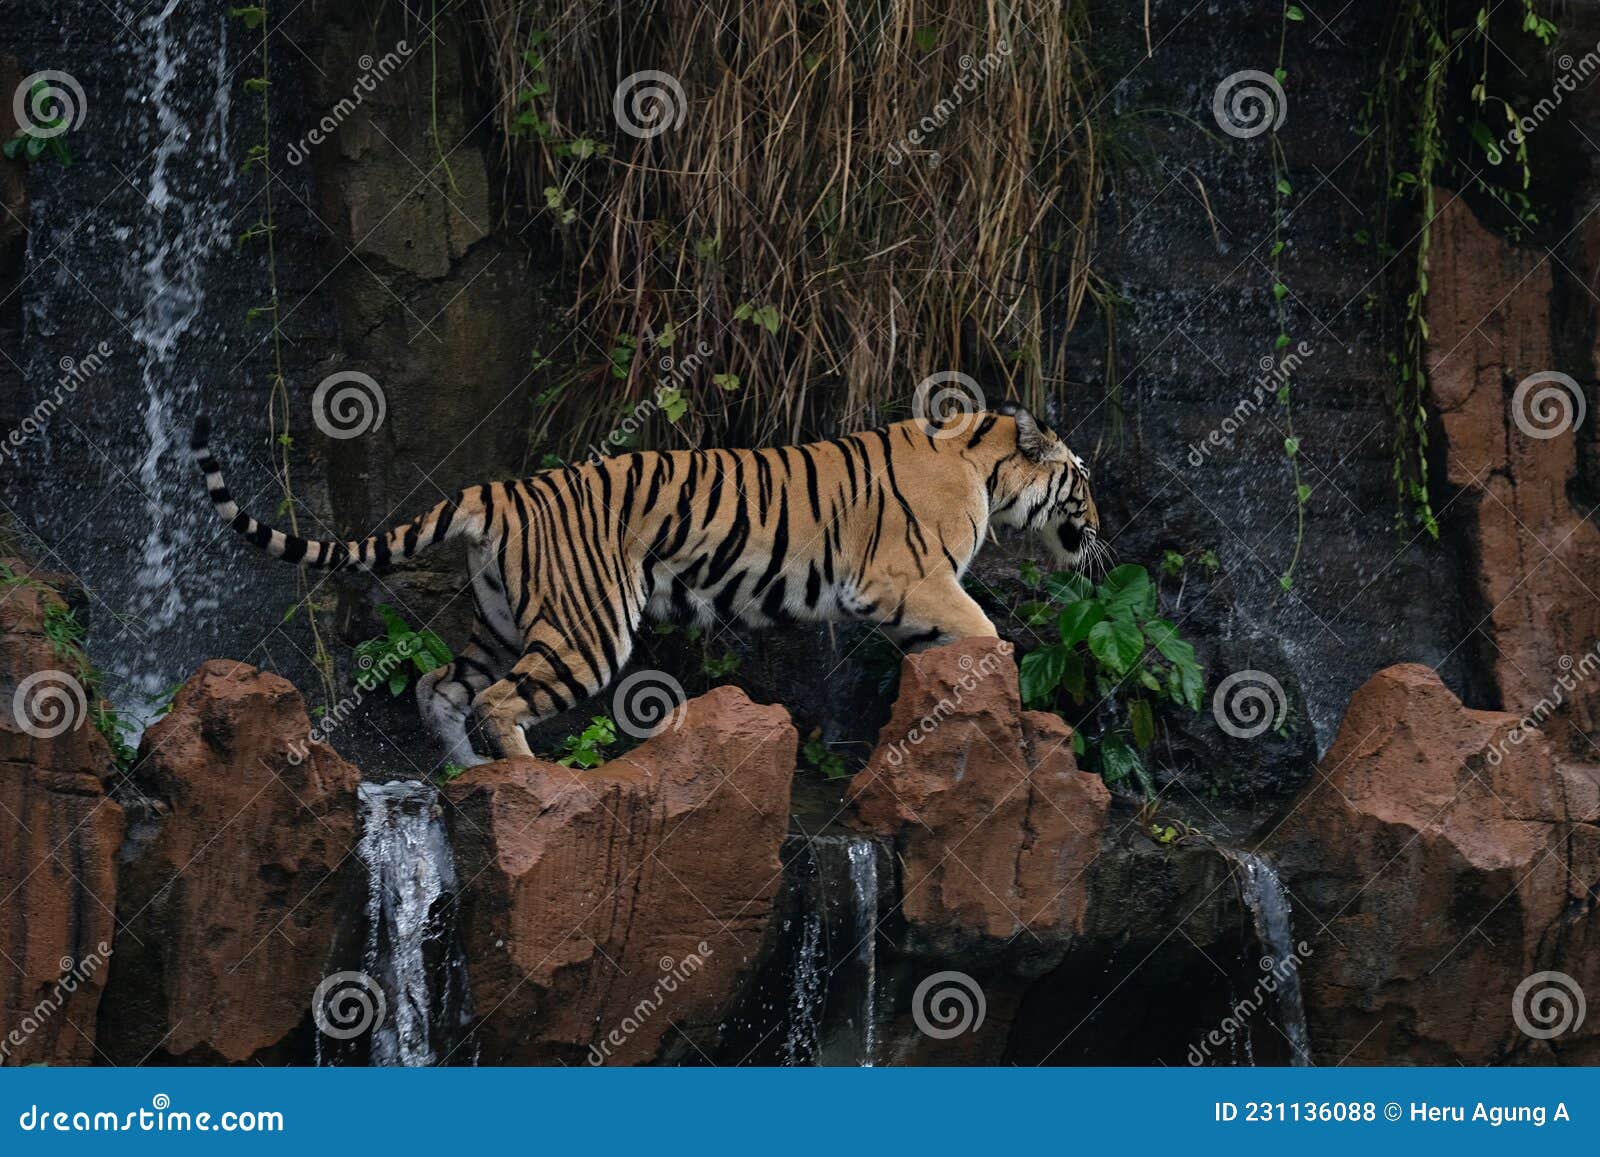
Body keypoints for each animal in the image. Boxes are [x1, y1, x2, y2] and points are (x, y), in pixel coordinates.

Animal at [191, 404, 1103, 766]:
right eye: (1083, 481)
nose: (1100, 532)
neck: (984, 464)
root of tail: (500, 489)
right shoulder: (909, 578)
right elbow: (986, 629)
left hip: (500, 621)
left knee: (441, 685)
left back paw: (470, 773)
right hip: (587, 628)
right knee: (497, 699)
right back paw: (535, 777)